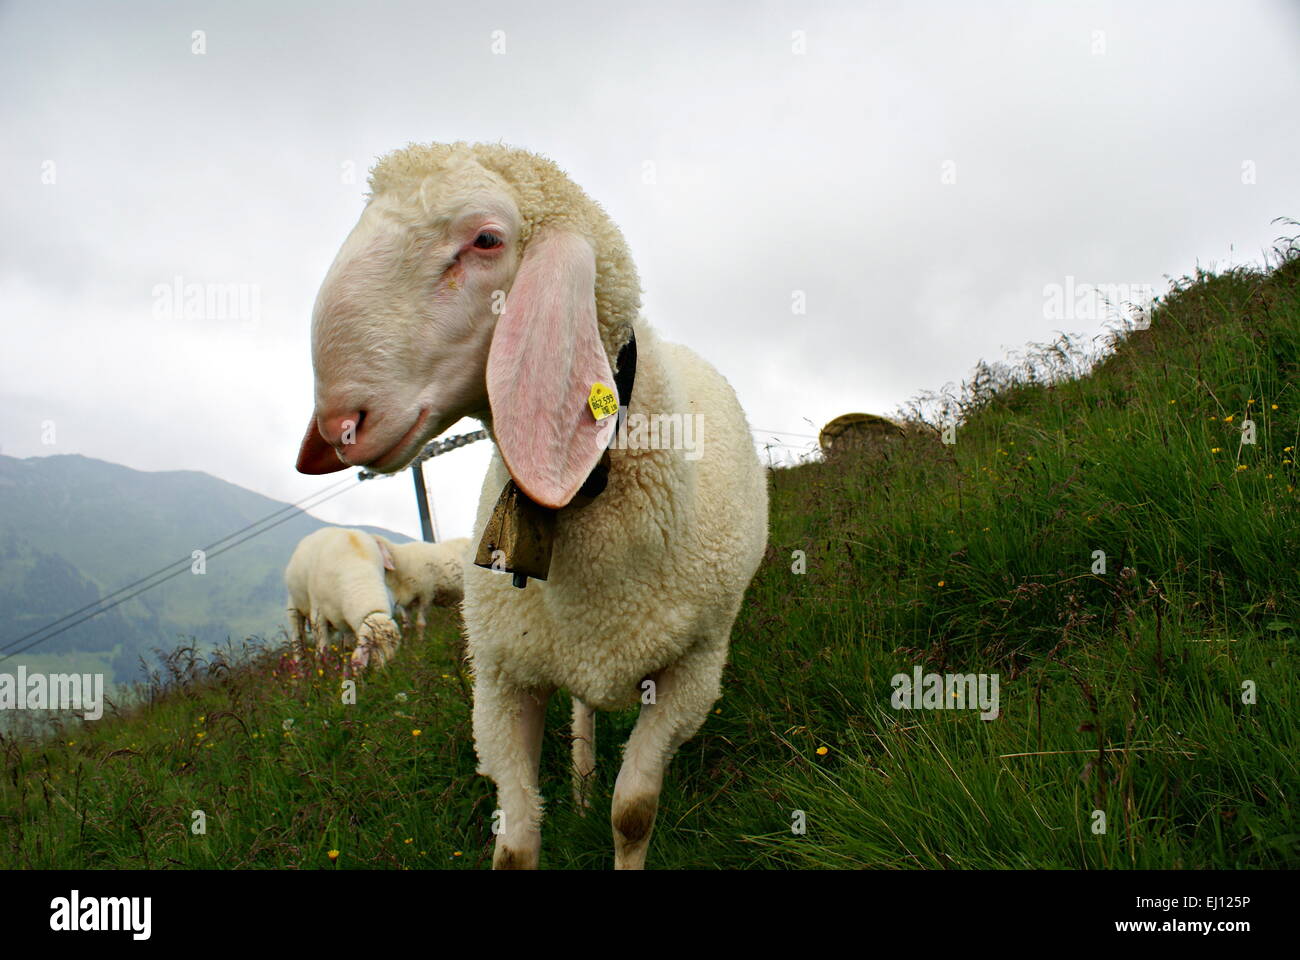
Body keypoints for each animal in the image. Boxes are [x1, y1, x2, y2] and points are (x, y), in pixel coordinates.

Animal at [283, 526, 402, 670]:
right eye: (374, 645)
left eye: (396, 647)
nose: (387, 671)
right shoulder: (318, 615)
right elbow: (322, 651)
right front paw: (323, 673)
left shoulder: (347, 624)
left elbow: (348, 651)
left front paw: (346, 674)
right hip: (294, 606)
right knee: (297, 644)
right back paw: (299, 672)